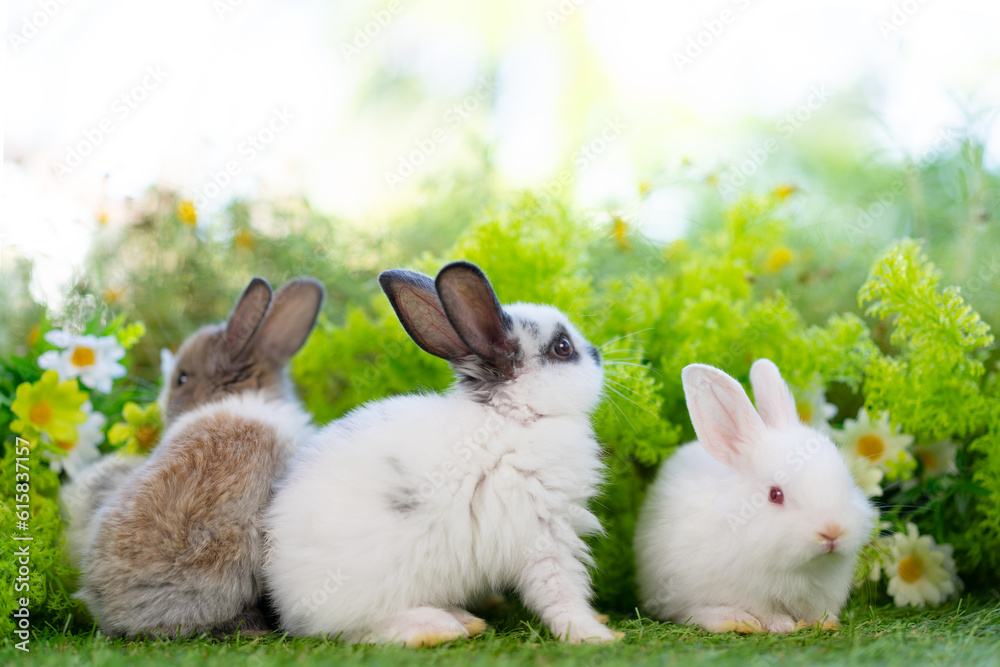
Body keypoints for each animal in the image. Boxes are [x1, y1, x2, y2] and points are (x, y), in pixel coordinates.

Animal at [263, 261, 620, 646]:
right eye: (563, 347)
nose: (599, 354)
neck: (514, 417)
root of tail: (286, 601)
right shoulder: (544, 534)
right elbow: (561, 591)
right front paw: (597, 635)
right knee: (359, 630)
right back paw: (440, 628)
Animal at [634, 359, 876, 634]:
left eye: (848, 481)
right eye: (775, 494)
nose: (833, 531)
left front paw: (825, 622)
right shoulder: (749, 594)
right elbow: (765, 612)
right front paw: (782, 625)